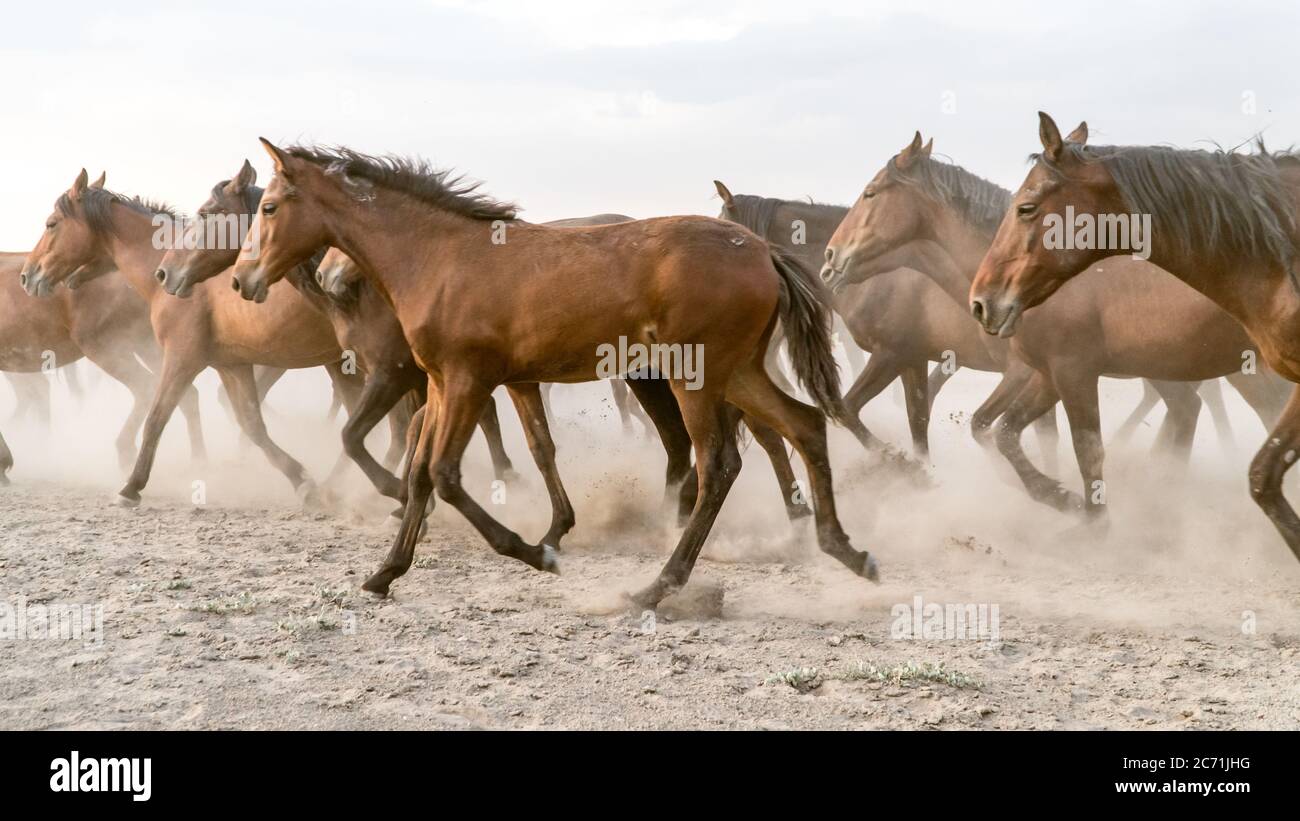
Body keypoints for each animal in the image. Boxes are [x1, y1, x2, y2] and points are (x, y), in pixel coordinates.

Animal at [231, 140, 879, 605]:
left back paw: (657, 587)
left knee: (719, 464)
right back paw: (846, 550)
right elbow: (419, 474)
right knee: (804, 425)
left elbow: (444, 475)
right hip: (737, 372)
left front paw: (535, 551)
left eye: (268, 207)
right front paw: (385, 572)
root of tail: (763, 251)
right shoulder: (441, 383)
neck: (441, 259)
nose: (241, 280)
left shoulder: (468, 381)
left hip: (695, 376)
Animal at [957, 114, 1300, 550]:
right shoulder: (1052, 373)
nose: (981, 302)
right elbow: (1006, 432)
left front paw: (1091, 520)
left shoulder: (1072, 371)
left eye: (1026, 208)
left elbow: (1087, 450)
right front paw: (1064, 499)